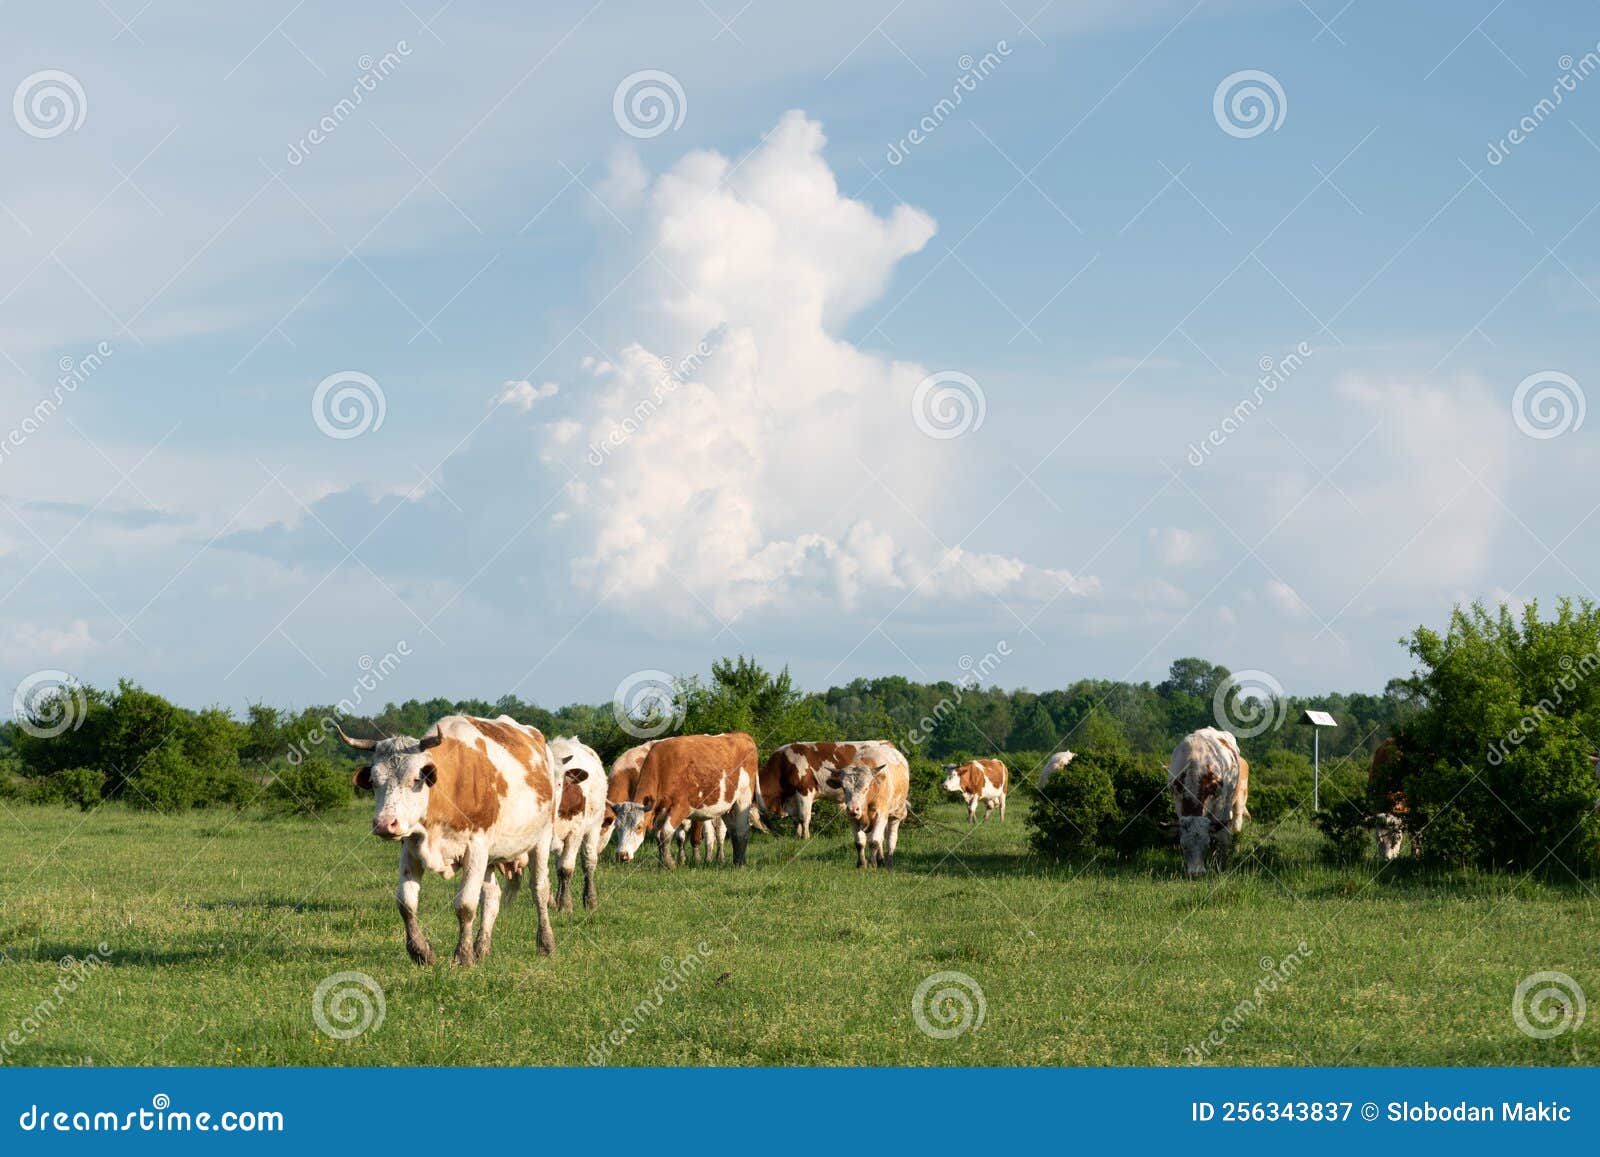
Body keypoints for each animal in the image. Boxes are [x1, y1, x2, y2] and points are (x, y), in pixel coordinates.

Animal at [339, 715, 556, 965]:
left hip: (541, 839)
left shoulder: (476, 847)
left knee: (539, 889)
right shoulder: (410, 847)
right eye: (374, 782)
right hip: (491, 857)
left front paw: (463, 956)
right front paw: (420, 951)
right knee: (492, 897)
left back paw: (546, 944)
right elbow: (406, 902)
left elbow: (465, 905)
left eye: (415, 779)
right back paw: (481, 948)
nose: (384, 824)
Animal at [609, 732, 760, 868]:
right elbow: (659, 837)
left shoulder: (681, 807)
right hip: (727, 807)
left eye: (639, 827)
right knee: (732, 831)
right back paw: (735, 860)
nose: (621, 855)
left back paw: (740, 864)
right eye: (617, 827)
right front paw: (663, 862)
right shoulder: (660, 812)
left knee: (741, 830)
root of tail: (742, 735)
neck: (663, 767)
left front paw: (670, 863)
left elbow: (665, 833)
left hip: (743, 799)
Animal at [760, 741, 907, 838]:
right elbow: (797, 819)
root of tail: (887, 743)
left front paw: (805, 837)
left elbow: (804, 817)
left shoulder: (804, 791)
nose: (768, 832)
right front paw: (797, 836)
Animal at [1167, 727, 1249, 879]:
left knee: (1234, 825)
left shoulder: (1219, 803)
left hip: (1236, 799)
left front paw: (1220, 862)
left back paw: (1233, 851)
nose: (1196, 873)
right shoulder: (1177, 799)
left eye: (1206, 844)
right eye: (1183, 846)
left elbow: (1219, 832)